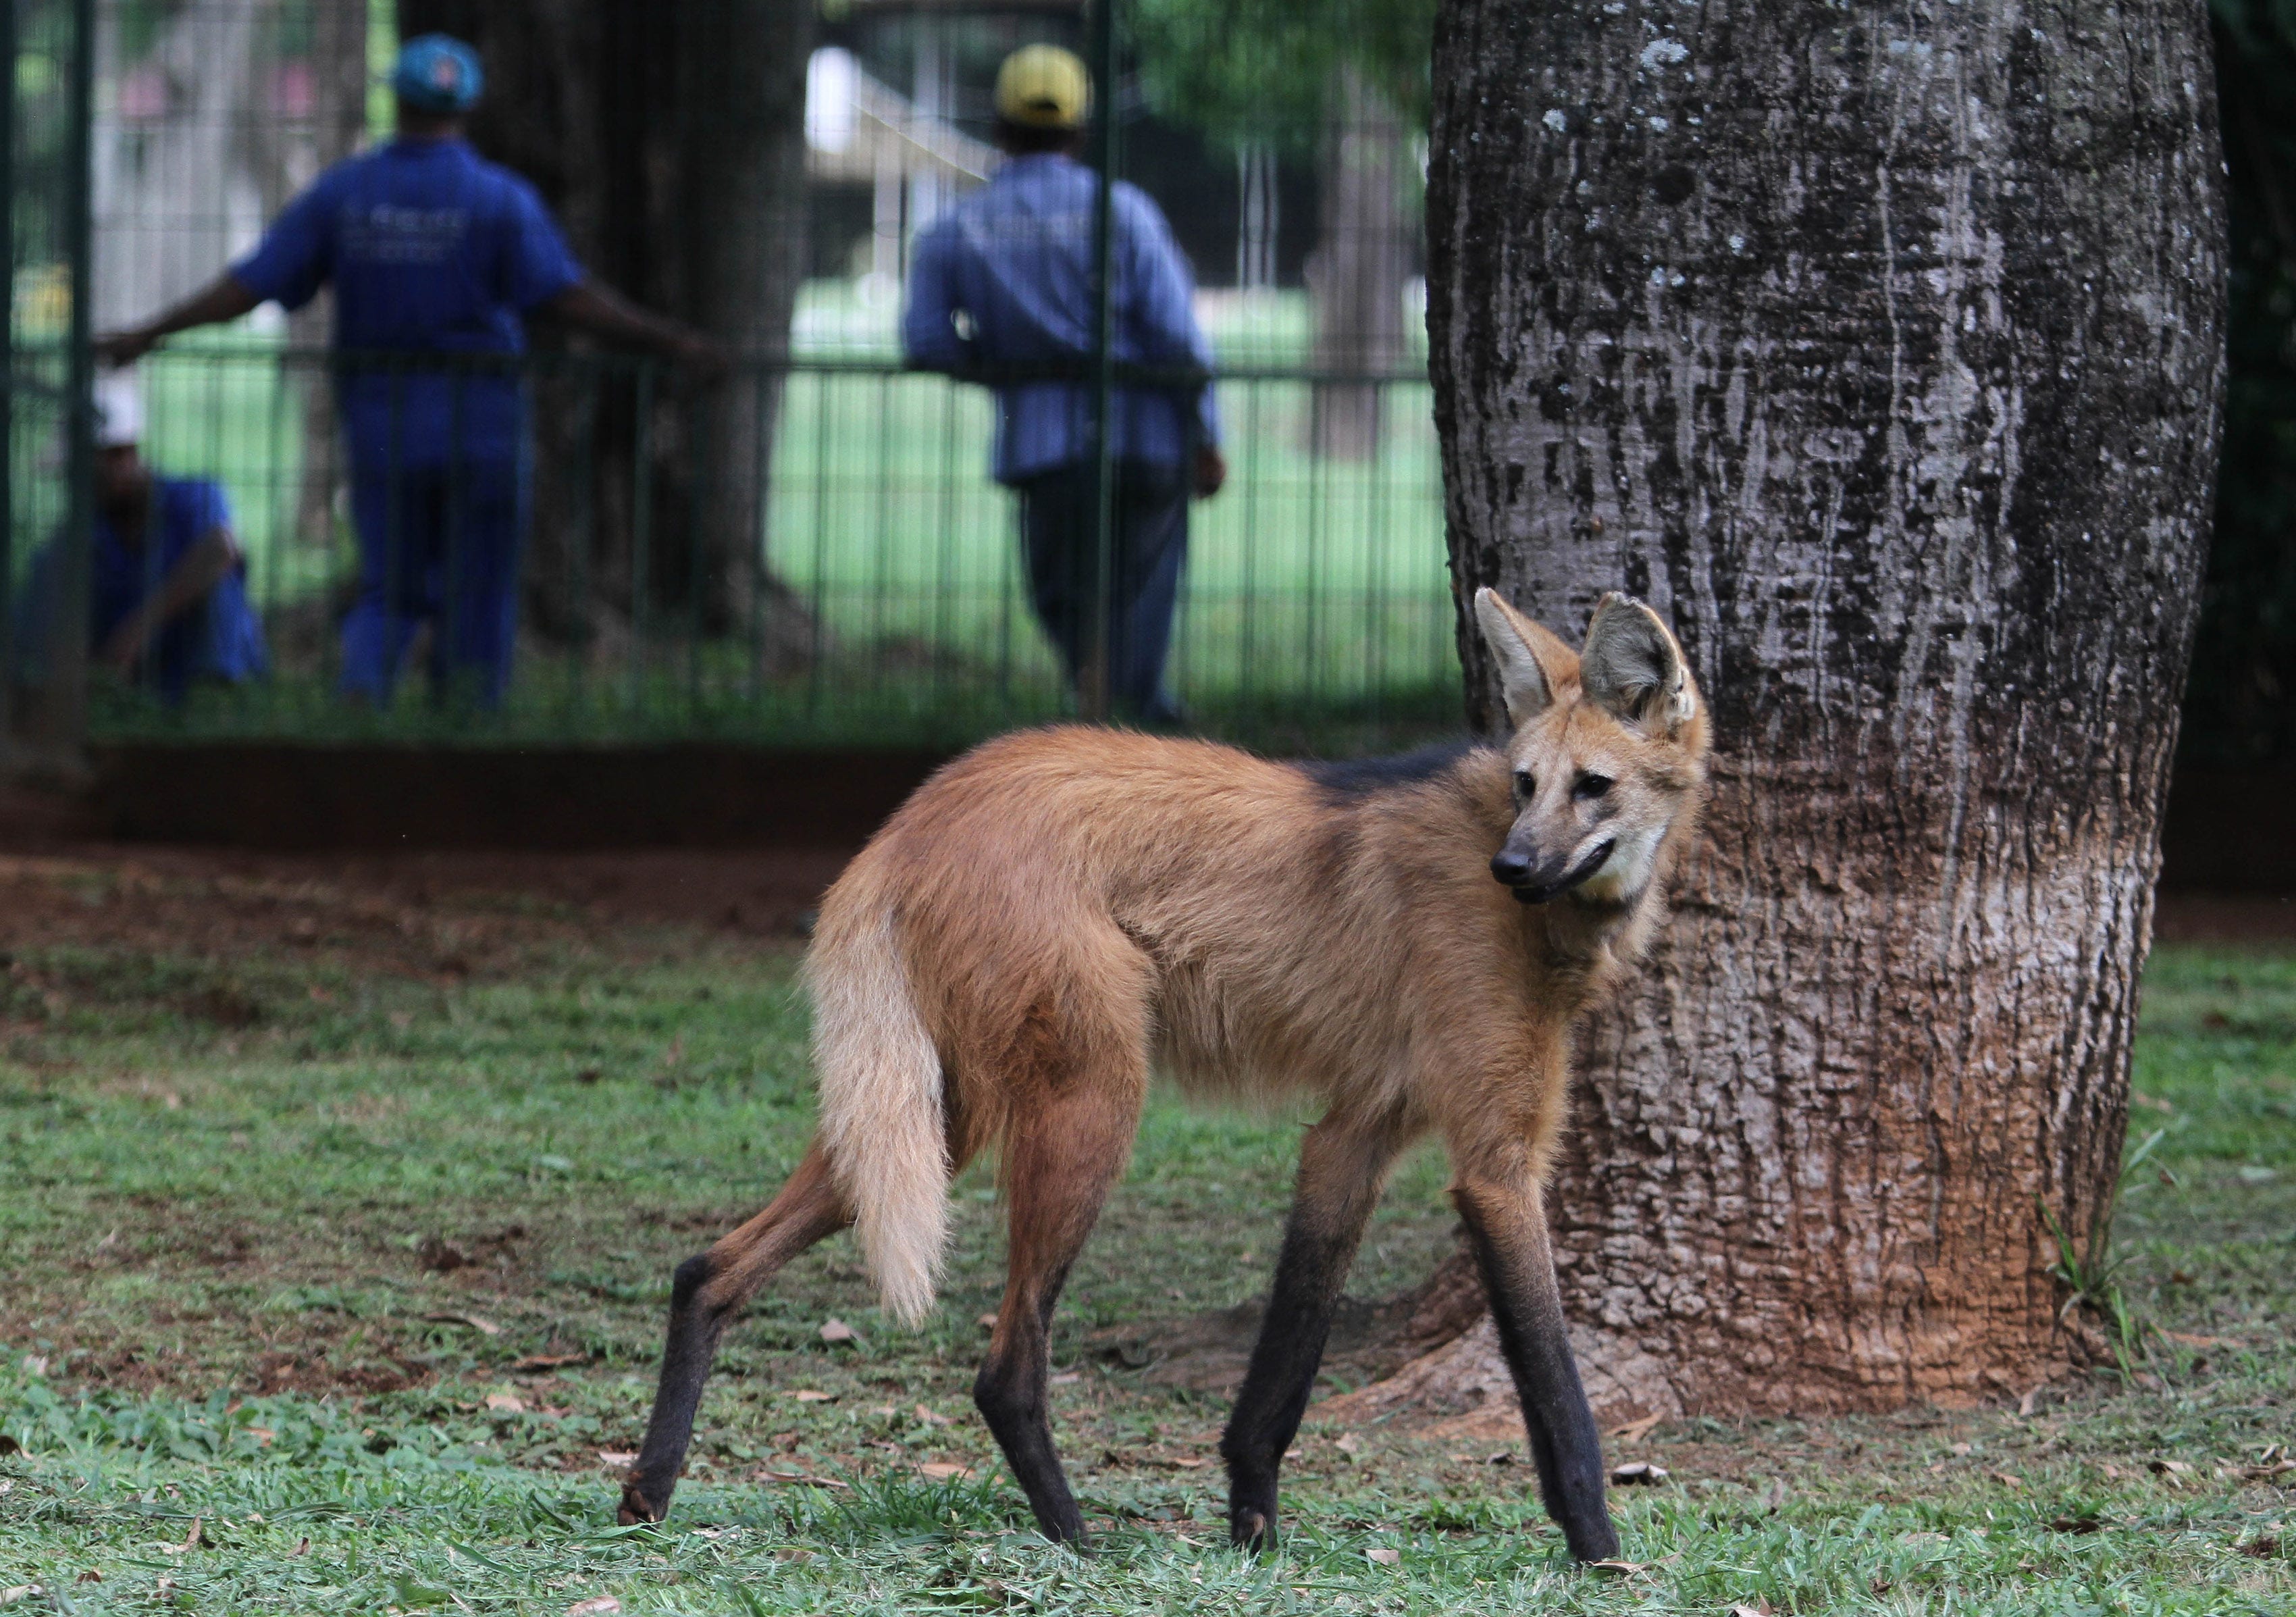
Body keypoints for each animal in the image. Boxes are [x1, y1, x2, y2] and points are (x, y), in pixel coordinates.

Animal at [617, 588, 1710, 1563]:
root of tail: (907, 822)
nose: (1512, 867)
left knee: (710, 1268)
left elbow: (1288, 1355)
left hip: (936, 1112)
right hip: (1091, 1100)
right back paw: (1078, 1541)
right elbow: (1552, 1379)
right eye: (1527, 783)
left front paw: (1253, 1526)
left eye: (1592, 786)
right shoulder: (1493, 1163)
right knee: (1005, 1365)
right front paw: (1601, 1548)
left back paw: (647, 1494)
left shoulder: (1353, 1134)